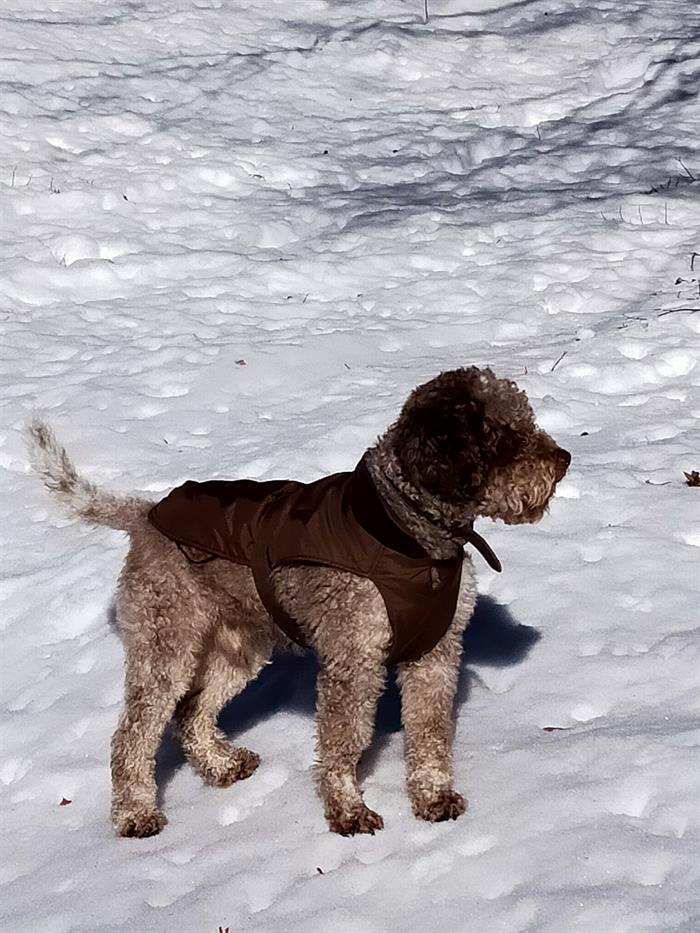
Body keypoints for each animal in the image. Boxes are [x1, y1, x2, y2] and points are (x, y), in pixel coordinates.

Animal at [30, 366, 572, 836]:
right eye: (506, 438)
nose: (564, 460)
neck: (409, 537)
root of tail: (144, 516)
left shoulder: (434, 654)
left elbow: (430, 733)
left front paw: (433, 798)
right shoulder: (353, 659)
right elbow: (344, 738)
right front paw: (348, 811)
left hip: (239, 646)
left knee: (192, 713)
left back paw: (221, 765)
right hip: (166, 643)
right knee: (133, 734)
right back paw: (135, 814)